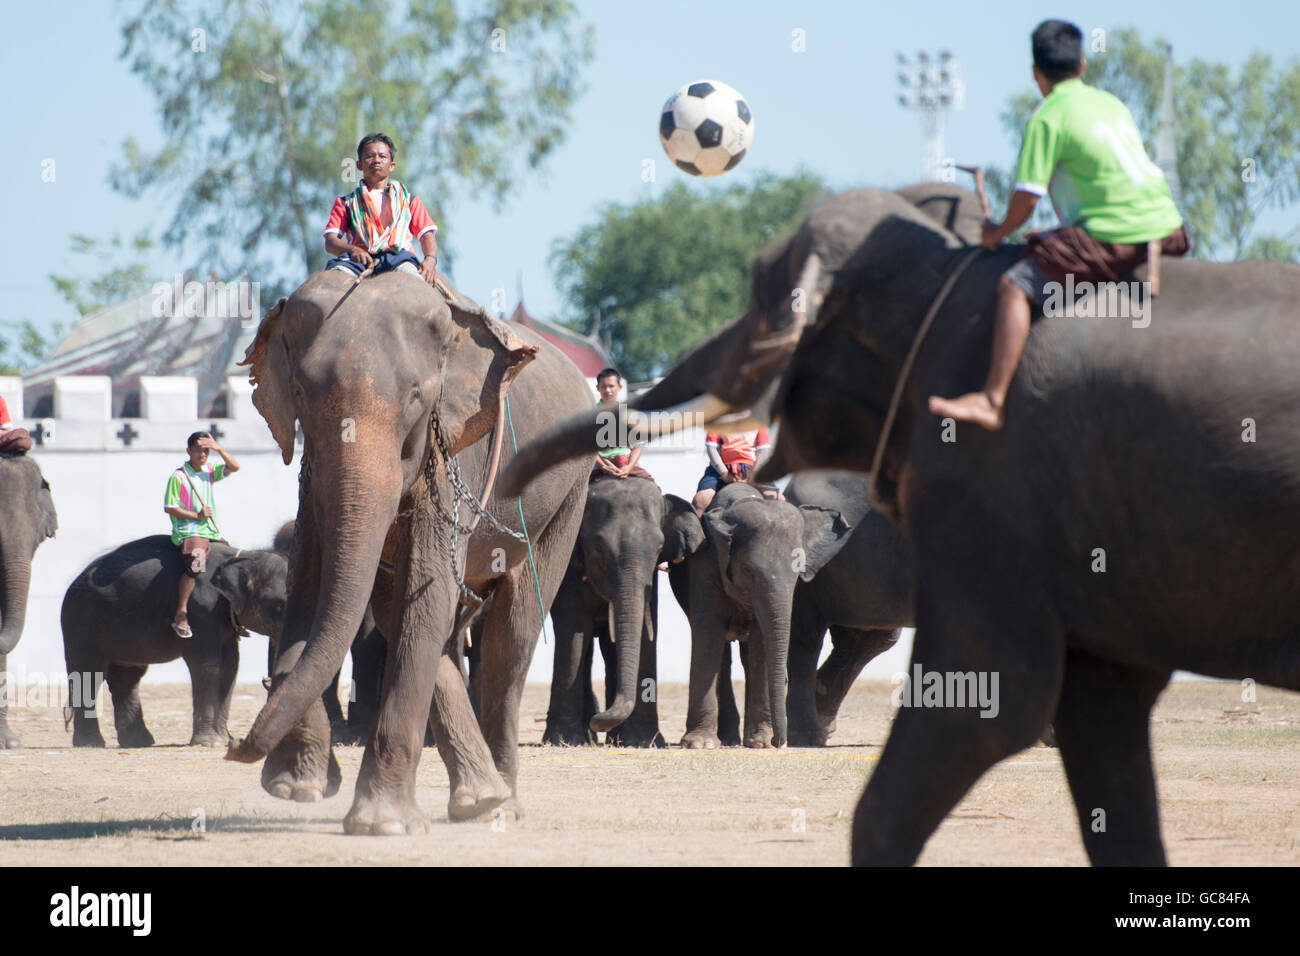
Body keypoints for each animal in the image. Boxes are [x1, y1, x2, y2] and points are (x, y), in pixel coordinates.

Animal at [62, 535, 287, 747]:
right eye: (279, 604)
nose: (266, 679)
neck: (243, 556)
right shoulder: (200, 611)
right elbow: (207, 664)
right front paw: (209, 743)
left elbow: (231, 665)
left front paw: (225, 740)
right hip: (80, 620)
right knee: (90, 674)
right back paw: (91, 743)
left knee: (127, 677)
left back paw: (139, 742)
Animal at [227, 270, 591, 835]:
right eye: (300, 392)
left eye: (417, 396)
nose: (232, 744)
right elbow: (313, 584)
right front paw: (297, 787)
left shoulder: (459, 448)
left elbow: (427, 593)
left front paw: (382, 824)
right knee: (415, 619)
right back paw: (480, 799)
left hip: (570, 491)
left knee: (511, 634)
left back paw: (501, 806)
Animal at [544, 478, 701, 748]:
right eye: (597, 548)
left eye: (660, 547)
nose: (598, 720)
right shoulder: (569, 572)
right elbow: (573, 631)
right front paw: (564, 741)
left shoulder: (650, 579)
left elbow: (646, 632)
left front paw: (641, 742)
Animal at [666, 481, 850, 749]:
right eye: (747, 570)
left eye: (799, 571)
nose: (779, 742)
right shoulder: (705, 563)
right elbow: (708, 634)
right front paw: (699, 745)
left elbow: (760, 641)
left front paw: (761, 743)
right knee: (721, 653)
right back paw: (727, 739)